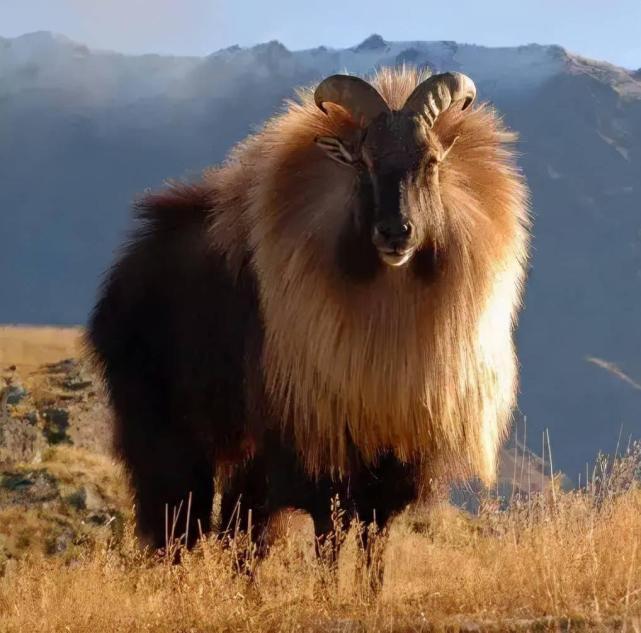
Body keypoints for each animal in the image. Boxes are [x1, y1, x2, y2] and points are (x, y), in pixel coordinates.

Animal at [87, 67, 530, 552]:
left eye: (430, 161)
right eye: (362, 162)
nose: (396, 233)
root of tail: (125, 270)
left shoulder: (388, 466)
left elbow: (373, 541)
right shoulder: (317, 459)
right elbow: (328, 539)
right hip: (168, 435)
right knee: (181, 525)